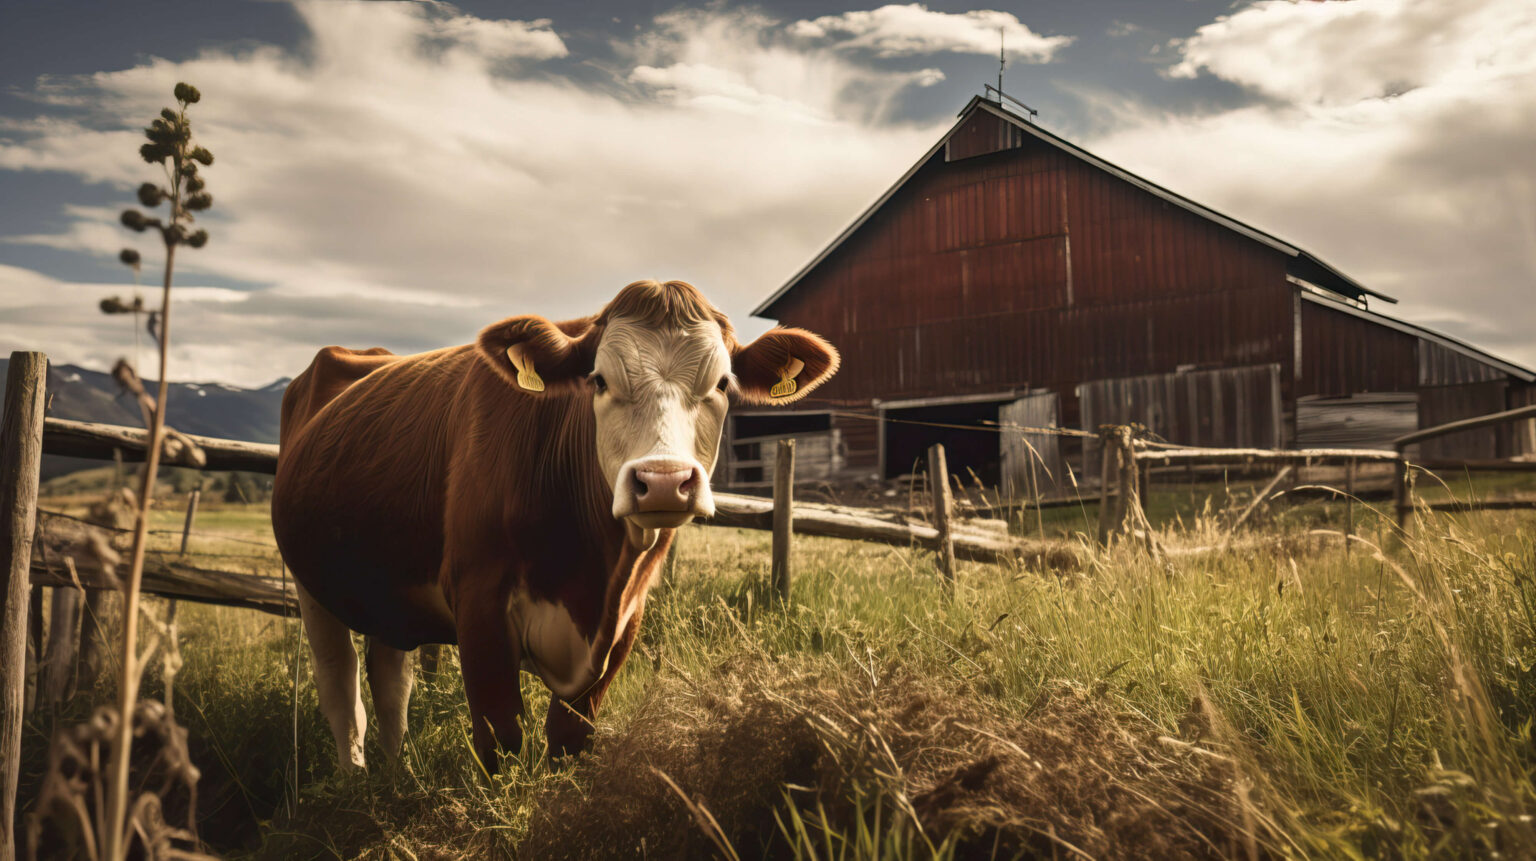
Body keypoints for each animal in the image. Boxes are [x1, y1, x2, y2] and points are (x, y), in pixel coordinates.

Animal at [271, 279, 839, 771]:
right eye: (599, 380)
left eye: (721, 383)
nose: (662, 481)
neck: (593, 581)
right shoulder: (478, 602)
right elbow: (500, 739)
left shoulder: (625, 618)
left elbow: (569, 738)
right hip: (310, 583)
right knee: (341, 688)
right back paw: (357, 778)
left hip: (385, 581)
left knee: (390, 678)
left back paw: (394, 774)